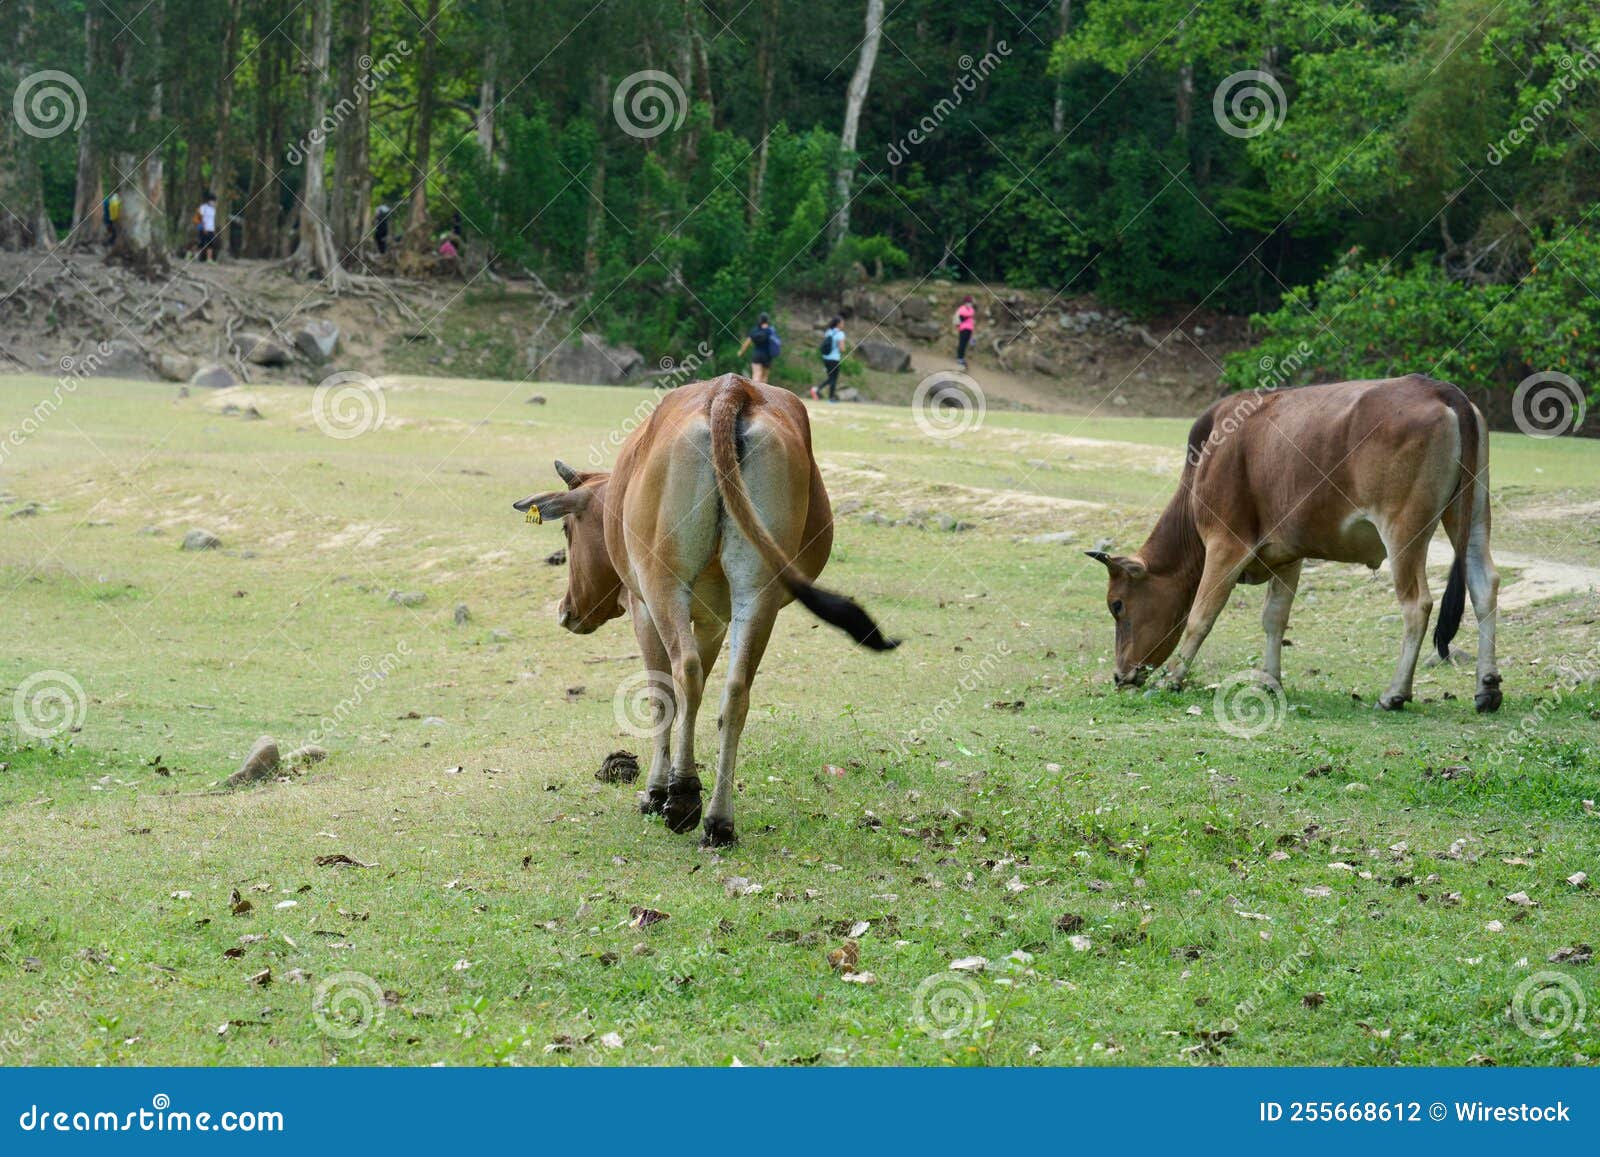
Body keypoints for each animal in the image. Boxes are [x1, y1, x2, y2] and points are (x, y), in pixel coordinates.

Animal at [514, 374, 896, 847]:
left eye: (568, 529)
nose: (567, 611)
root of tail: (732, 391)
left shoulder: (644, 609)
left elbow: (663, 694)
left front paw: (657, 791)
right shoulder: (714, 621)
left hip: (664, 586)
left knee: (686, 673)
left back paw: (681, 799)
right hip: (757, 591)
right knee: (735, 692)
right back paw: (718, 819)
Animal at [1089, 374, 1502, 713]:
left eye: (1117, 605)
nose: (1120, 675)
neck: (1207, 459)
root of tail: (1439, 389)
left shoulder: (1225, 544)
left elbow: (1201, 615)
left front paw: (1173, 677)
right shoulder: (1288, 556)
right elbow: (1275, 618)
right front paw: (1271, 680)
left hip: (1404, 530)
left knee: (1417, 604)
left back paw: (1395, 693)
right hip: (1474, 515)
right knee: (1484, 586)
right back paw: (1487, 687)